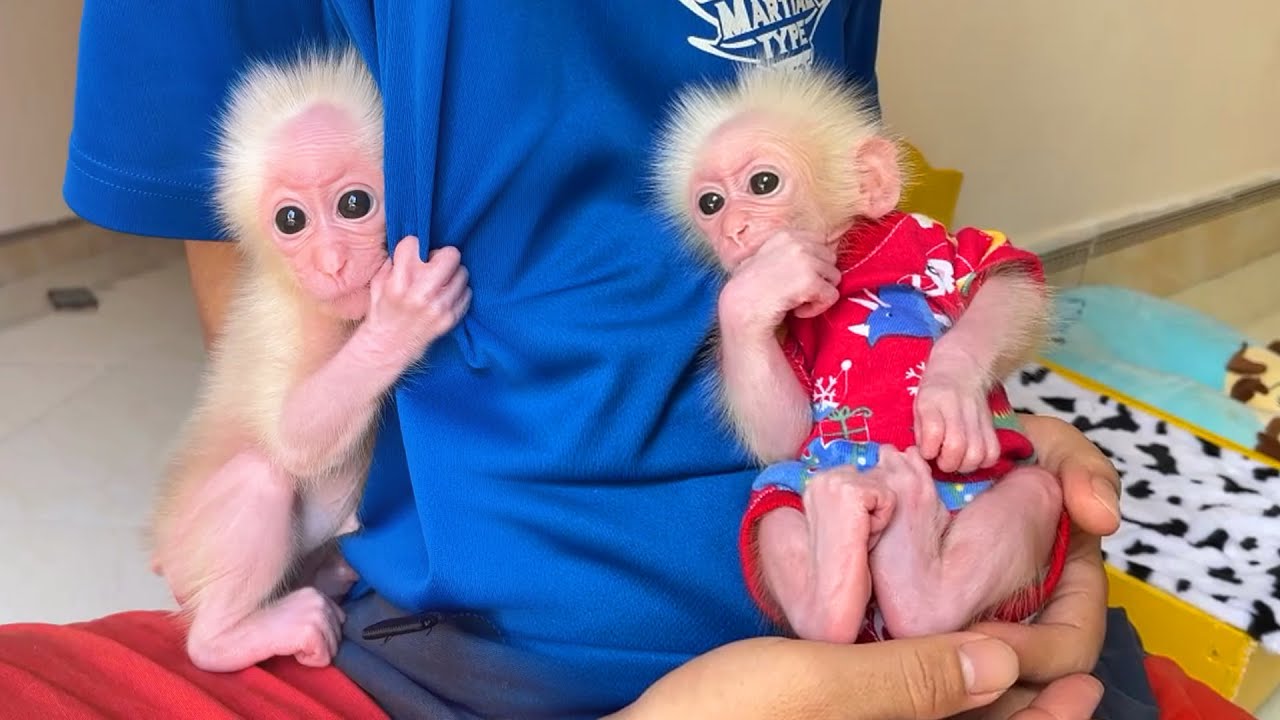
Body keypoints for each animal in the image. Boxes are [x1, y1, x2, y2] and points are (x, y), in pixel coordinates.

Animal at [147, 47, 471, 673]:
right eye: (290, 221)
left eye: (355, 204)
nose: (330, 264)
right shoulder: (283, 320)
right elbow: (293, 440)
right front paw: (398, 325)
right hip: (192, 551)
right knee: (259, 477)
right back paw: (224, 638)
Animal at [652, 64, 1071, 645]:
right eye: (710, 204)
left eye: (763, 184)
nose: (734, 230)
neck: (848, 263)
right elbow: (783, 431)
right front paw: (751, 296)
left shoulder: (928, 239)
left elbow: (1005, 281)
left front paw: (947, 393)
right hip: (800, 486)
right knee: (775, 501)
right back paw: (839, 573)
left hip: (997, 493)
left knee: (1035, 495)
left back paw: (916, 579)